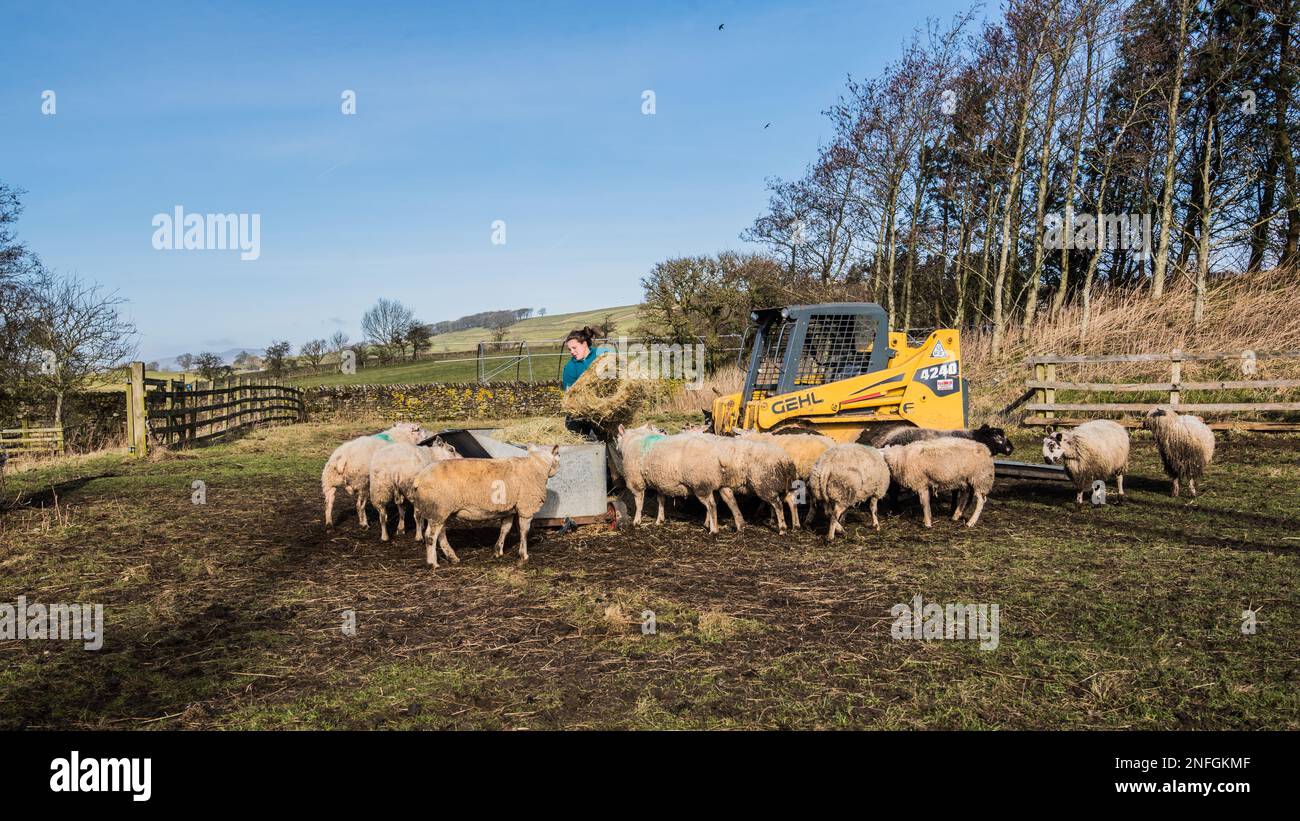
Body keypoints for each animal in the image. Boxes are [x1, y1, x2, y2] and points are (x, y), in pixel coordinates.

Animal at [412, 445, 560, 568]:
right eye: (558, 455)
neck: (536, 467)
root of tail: (419, 477)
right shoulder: (526, 507)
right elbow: (524, 531)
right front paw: (524, 555)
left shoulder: (509, 510)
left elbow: (505, 529)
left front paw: (498, 551)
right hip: (438, 508)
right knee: (430, 536)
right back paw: (433, 563)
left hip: (441, 510)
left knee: (441, 535)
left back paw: (452, 557)